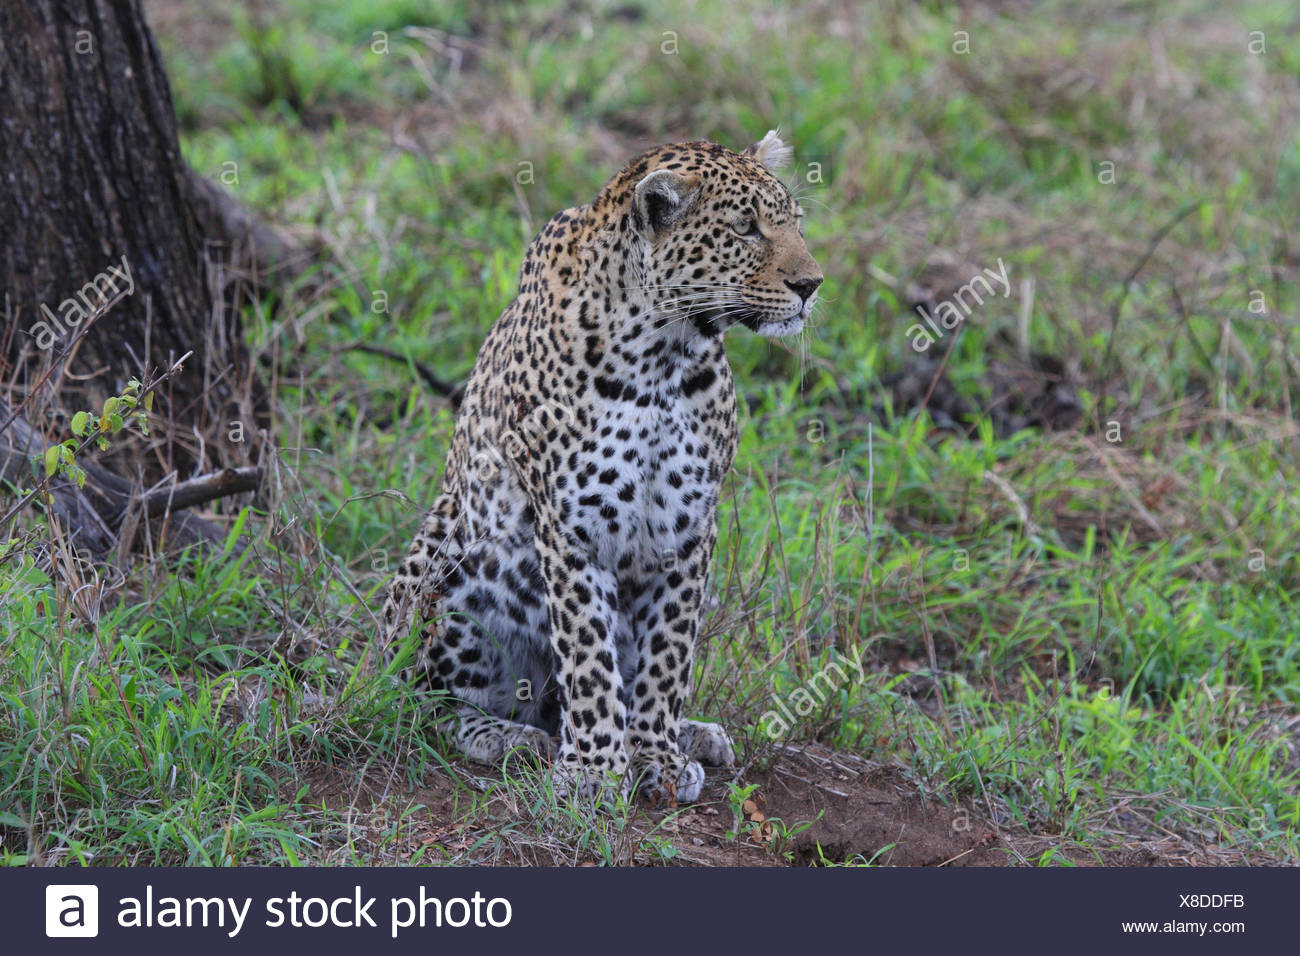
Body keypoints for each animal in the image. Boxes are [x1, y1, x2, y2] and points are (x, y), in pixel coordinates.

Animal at [380, 130, 823, 803]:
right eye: (745, 229)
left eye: (795, 223)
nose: (812, 284)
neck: (666, 356)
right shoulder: (573, 525)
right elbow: (587, 652)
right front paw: (592, 769)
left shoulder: (688, 529)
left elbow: (668, 654)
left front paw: (657, 756)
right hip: (444, 561)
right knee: (426, 701)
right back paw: (507, 736)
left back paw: (694, 735)